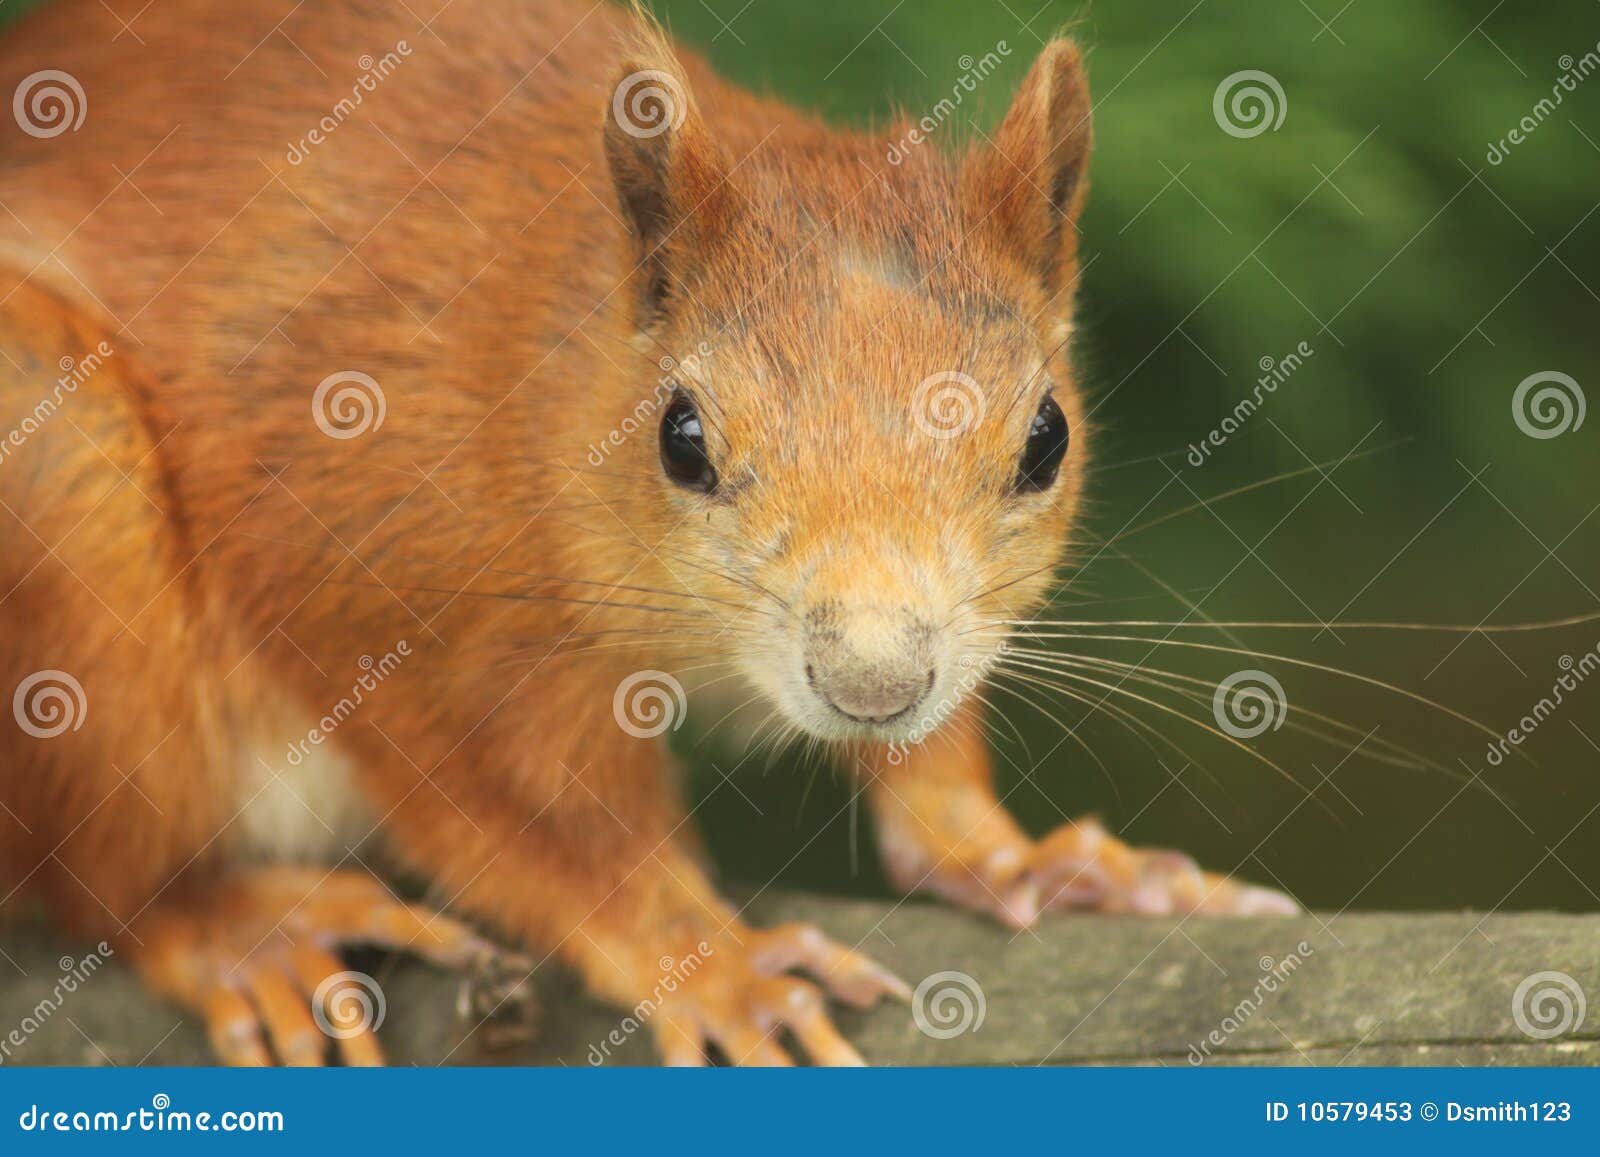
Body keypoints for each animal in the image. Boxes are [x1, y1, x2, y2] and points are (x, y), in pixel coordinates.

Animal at [0, 0, 1296, 1066]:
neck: (549, 358)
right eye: (679, 439)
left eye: (1045, 438)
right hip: (57, 476)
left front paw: (1011, 853)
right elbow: (533, 826)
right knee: (105, 888)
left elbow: (930, 766)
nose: (871, 682)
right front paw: (710, 963)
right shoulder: (379, 573)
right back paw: (238, 926)